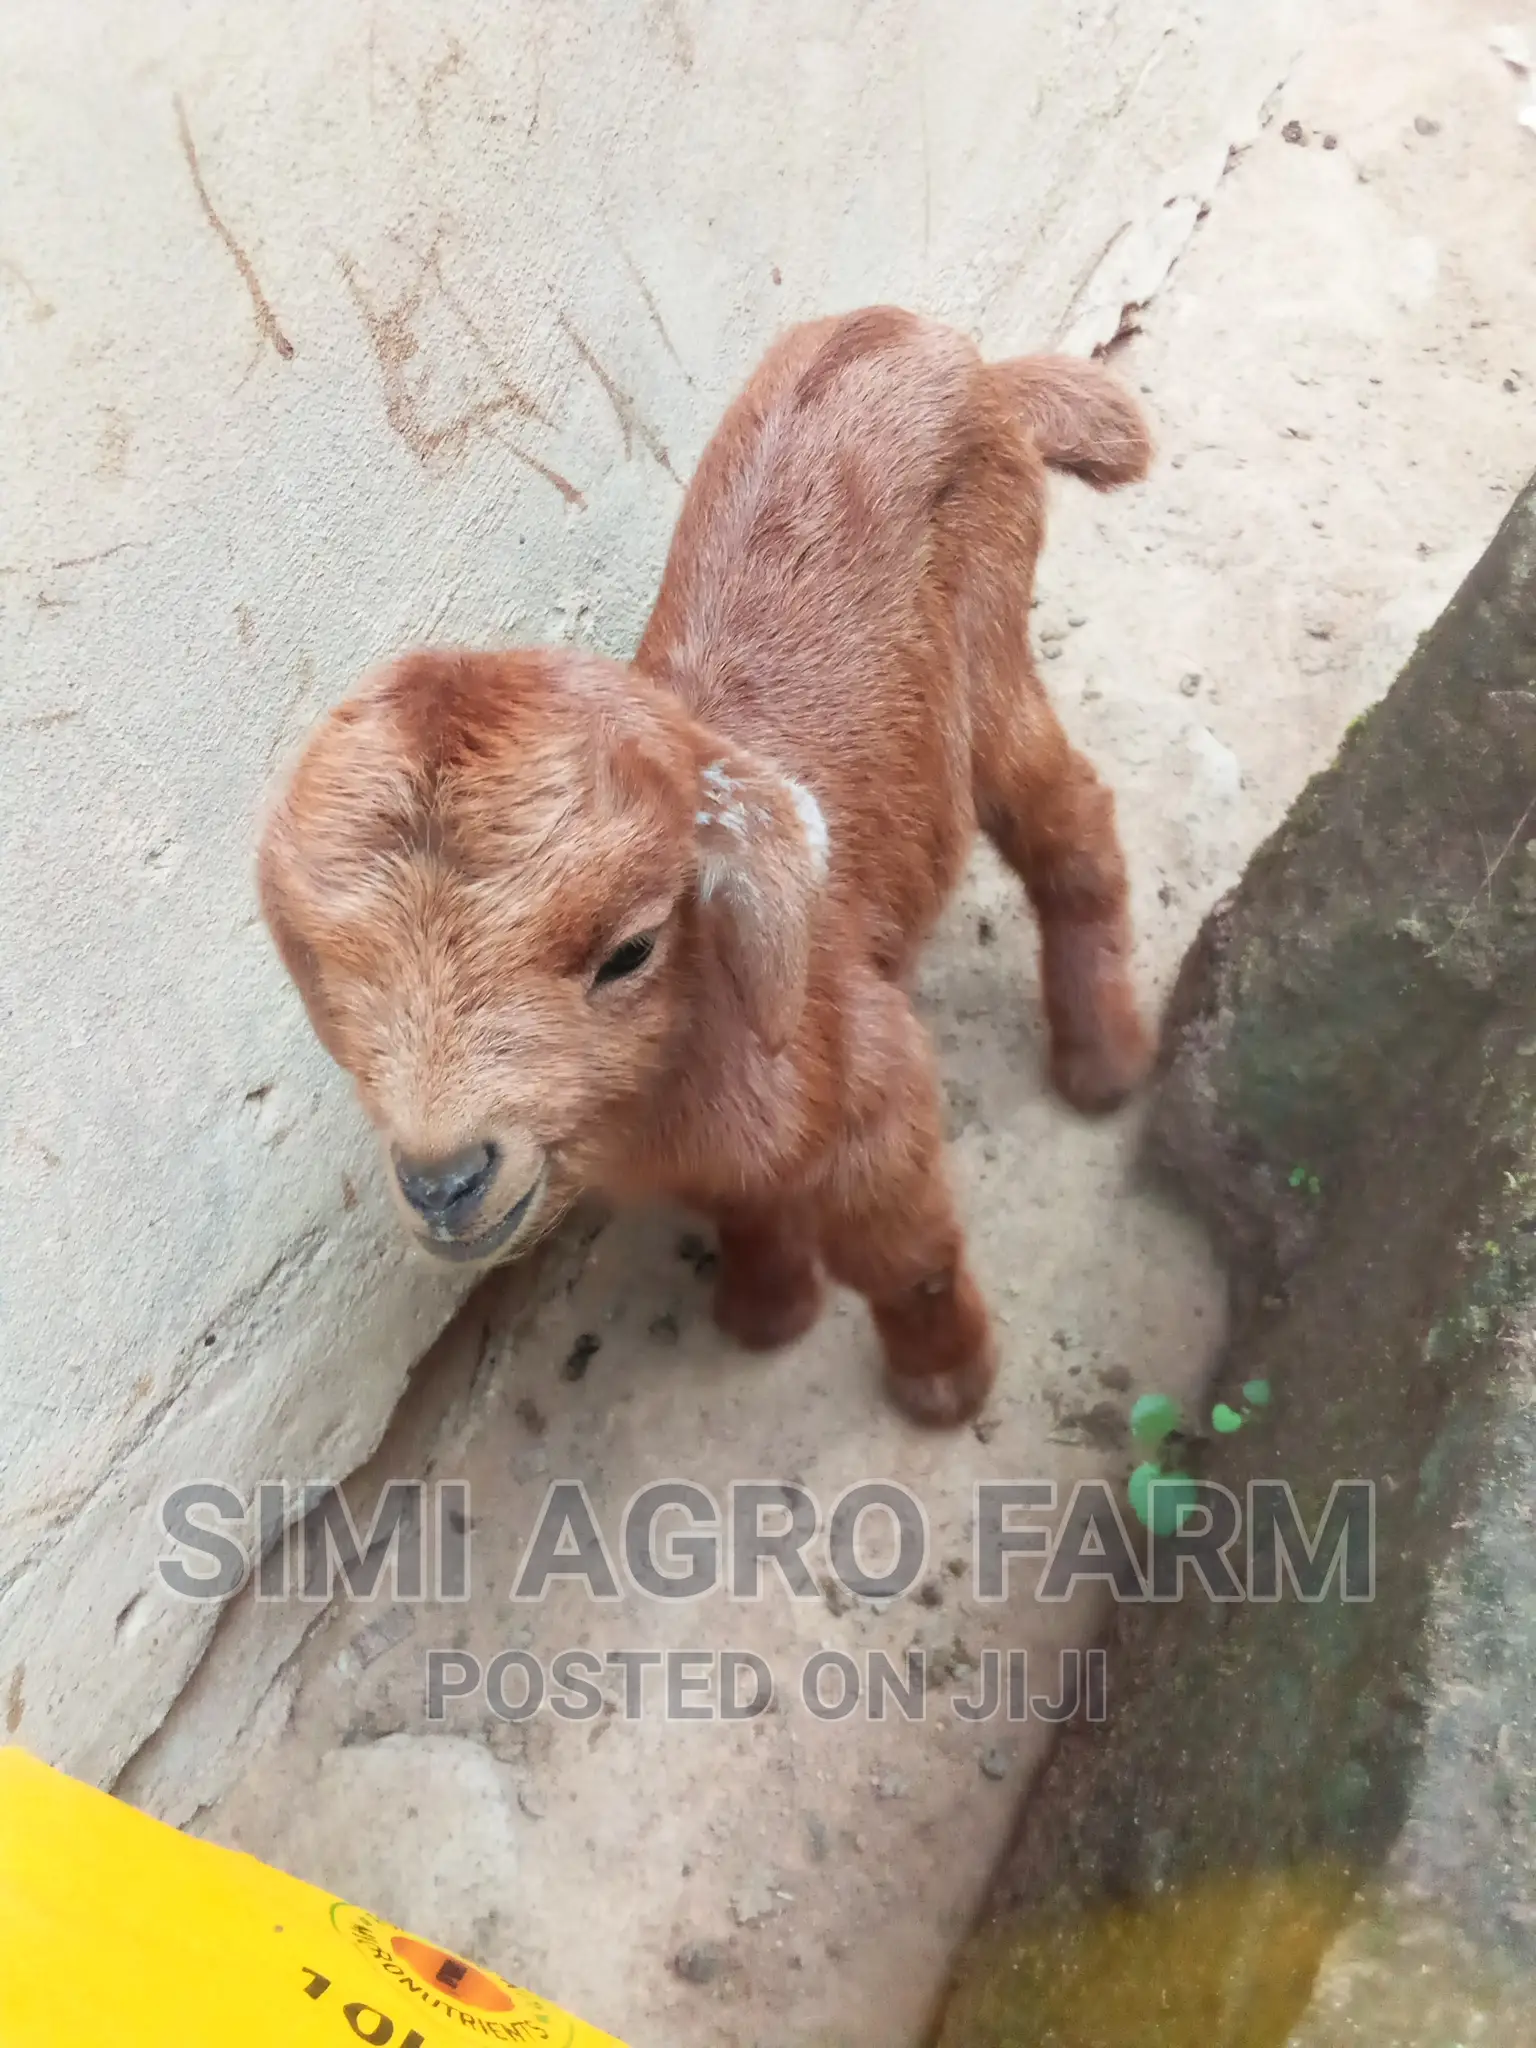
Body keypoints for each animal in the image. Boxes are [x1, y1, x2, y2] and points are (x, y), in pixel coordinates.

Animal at [258, 305, 1153, 1428]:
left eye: (630, 950)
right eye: (328, 979)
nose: (444, 1180)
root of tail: (943, 346)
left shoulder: (875, 1076)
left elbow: (903, 1254)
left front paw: (944, 1384)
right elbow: (750, 1203)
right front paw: (767, 1312)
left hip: (991, 638)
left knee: (1070, 818)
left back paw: (1104, 1065)